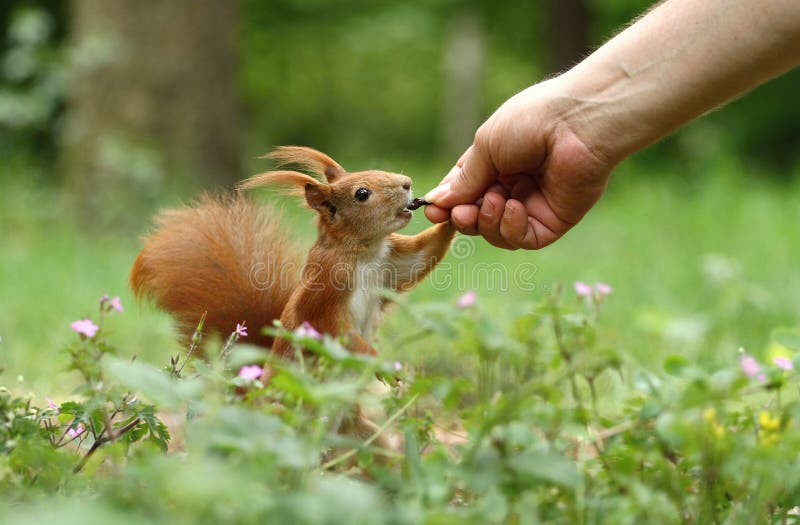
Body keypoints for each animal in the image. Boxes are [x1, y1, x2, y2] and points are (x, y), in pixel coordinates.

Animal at [130, 146, 456, 358]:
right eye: (362, 194)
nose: (407, 184)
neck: (365, 254)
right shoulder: (324, 291)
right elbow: (333, 329)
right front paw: (380, 364)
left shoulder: (390, 260)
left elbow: (420, 257)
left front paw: (454, 213)